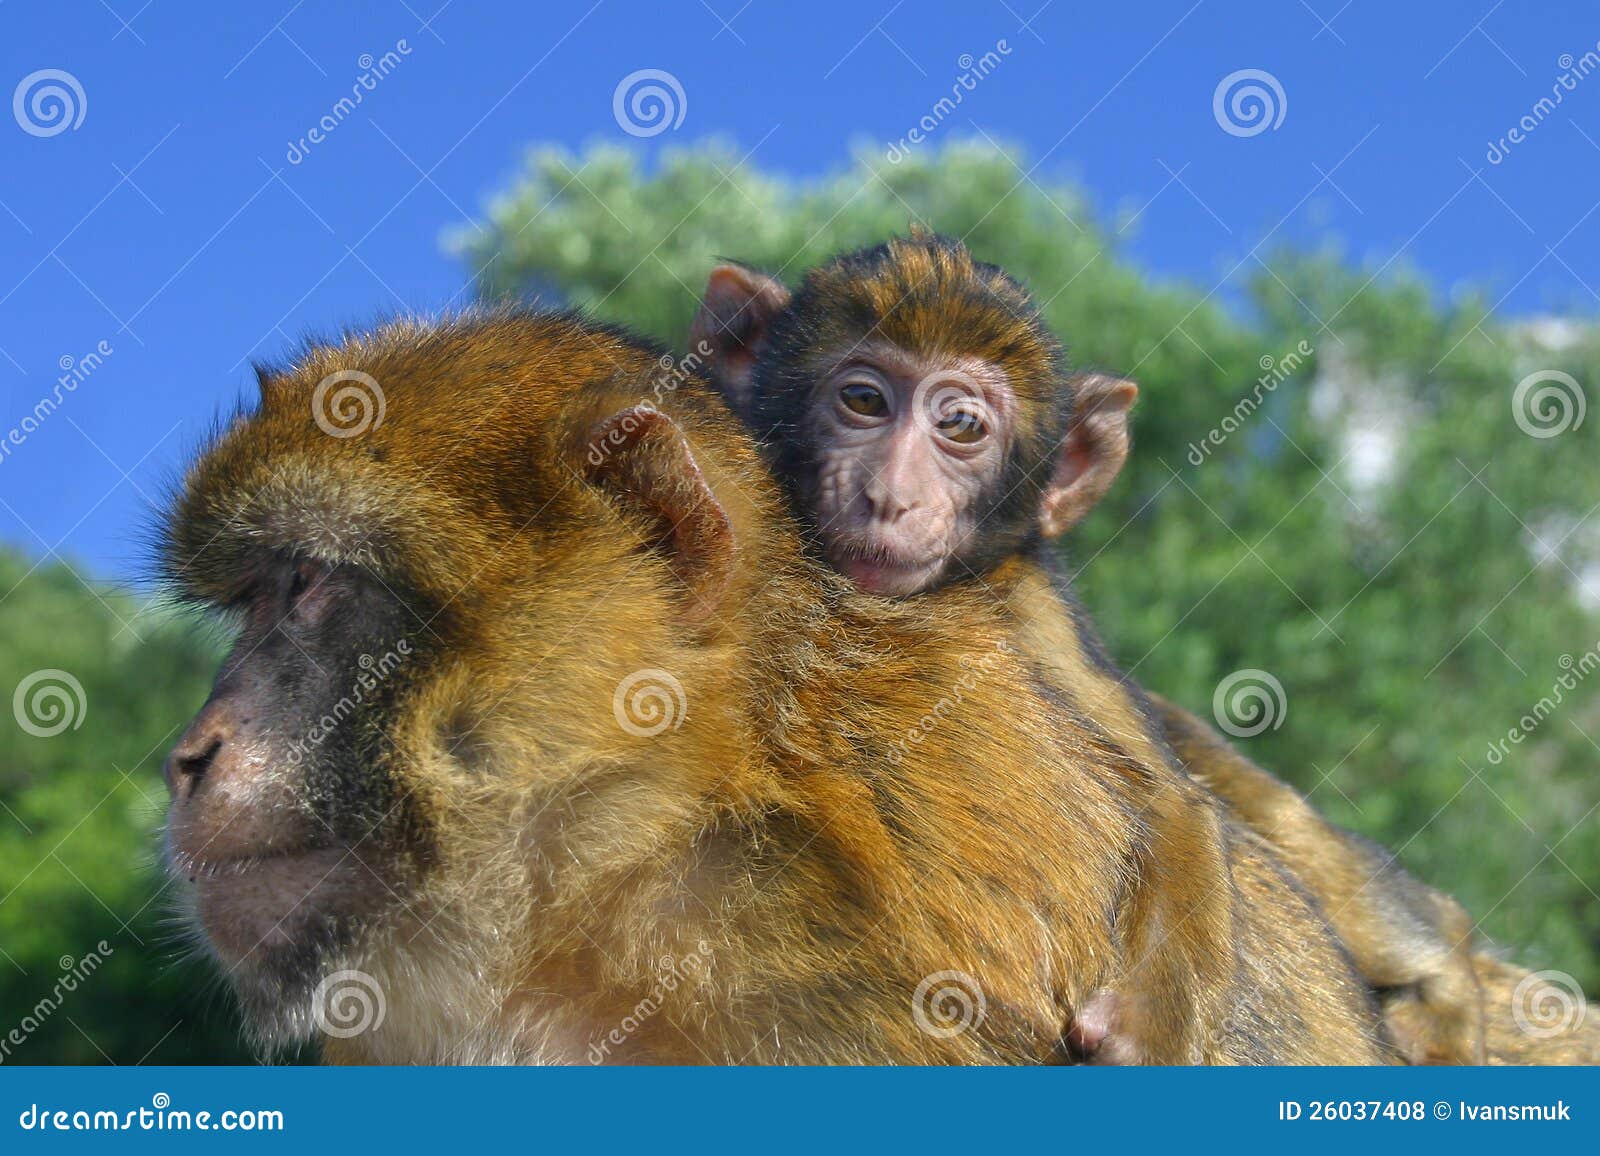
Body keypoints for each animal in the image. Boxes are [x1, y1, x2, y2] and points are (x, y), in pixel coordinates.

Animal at [686, 234, 1596, 1065]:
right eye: (864, 400)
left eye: (959, 425)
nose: (891, 495)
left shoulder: (1033, 603)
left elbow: (1168, 791)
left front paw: (1153, 1028)